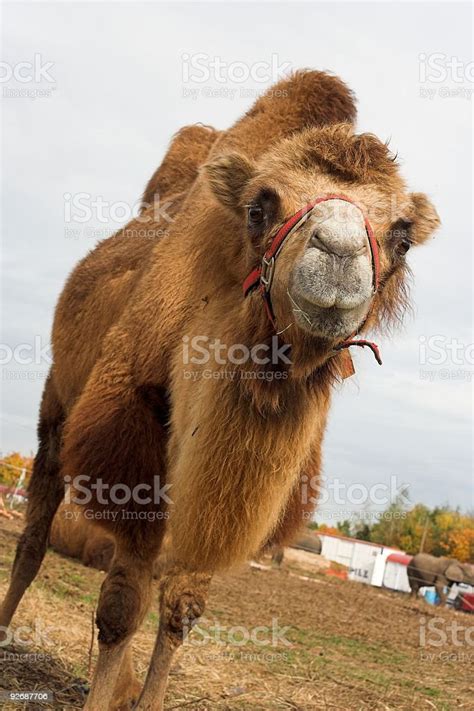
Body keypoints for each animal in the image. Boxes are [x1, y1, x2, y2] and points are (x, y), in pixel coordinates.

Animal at [0, 70, 440, 710]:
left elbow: (183, 605)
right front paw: (105, 695)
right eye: (260, 208)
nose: (339, 254)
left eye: (402, 236)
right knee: (34, 535)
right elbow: (121, 606)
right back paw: (8, 630)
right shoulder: (130, 439)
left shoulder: (225, 479)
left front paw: (144, 696)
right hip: (57, 401)